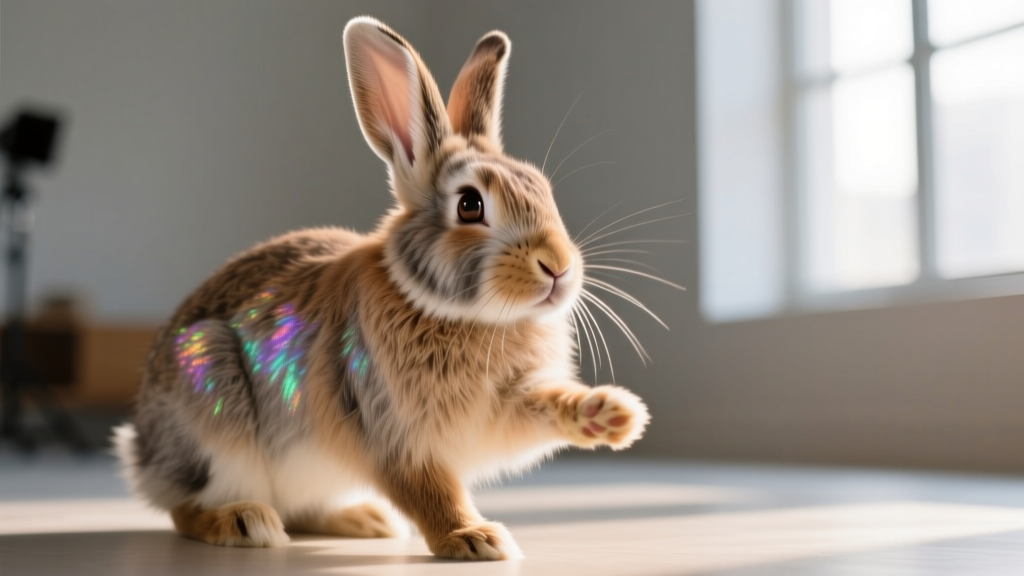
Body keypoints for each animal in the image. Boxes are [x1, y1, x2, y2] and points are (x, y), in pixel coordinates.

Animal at [113, 15, 650, 561]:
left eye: (542, 190)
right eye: (470, 205)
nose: (558, 267)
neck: (455, 312)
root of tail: (142, 454)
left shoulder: (509, 401)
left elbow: (545, 403)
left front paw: (613, 415)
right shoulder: (391, 432)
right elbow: (429, 492)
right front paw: (474, 539)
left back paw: (366, 520)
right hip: (211, 403)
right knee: (185, 507)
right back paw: (244, 521)